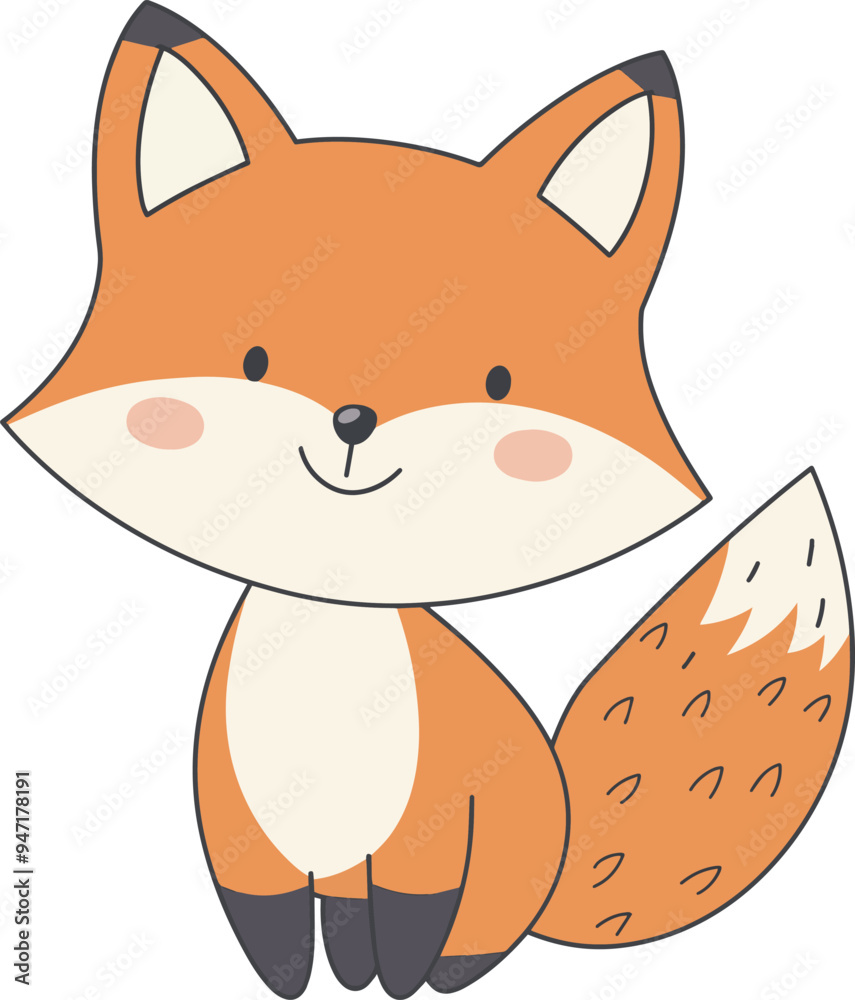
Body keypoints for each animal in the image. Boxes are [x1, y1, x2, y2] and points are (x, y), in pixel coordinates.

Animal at [3, 3, 852, 998]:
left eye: (496, 381)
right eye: (252, 358)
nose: (353, 419)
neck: (328, 646)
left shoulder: (430, 838)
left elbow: (408, 923)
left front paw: (399, 982)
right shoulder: (245, 841)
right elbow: (273, 934)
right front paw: (297, 982)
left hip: (497, 874)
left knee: (465, 939)